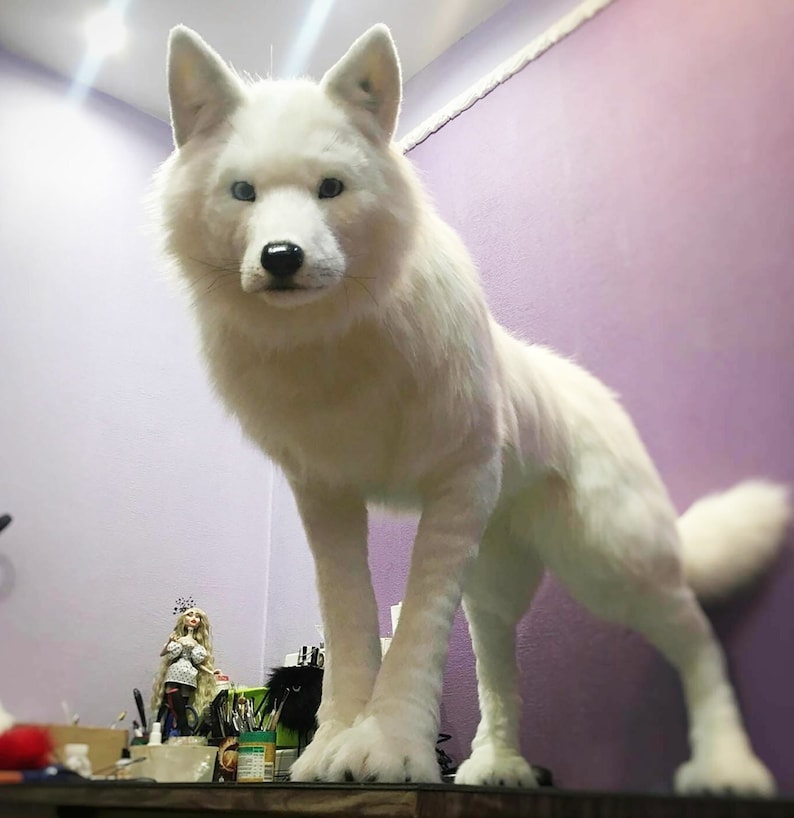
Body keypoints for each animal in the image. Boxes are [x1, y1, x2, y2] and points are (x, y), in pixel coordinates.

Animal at [155, 23, 790, 793]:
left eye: (330, 188)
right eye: (242, 192)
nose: (281, 256)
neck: (332, 343)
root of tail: (597, 393)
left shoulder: (456, 483)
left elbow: (417, 632)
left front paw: (388, 749)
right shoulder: (327, 498)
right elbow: (350, 625)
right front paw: (330, 747)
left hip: (612, 567)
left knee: (698, 635)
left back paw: (728, 764)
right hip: (495, 590)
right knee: (499, 678)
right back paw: (497, 767)